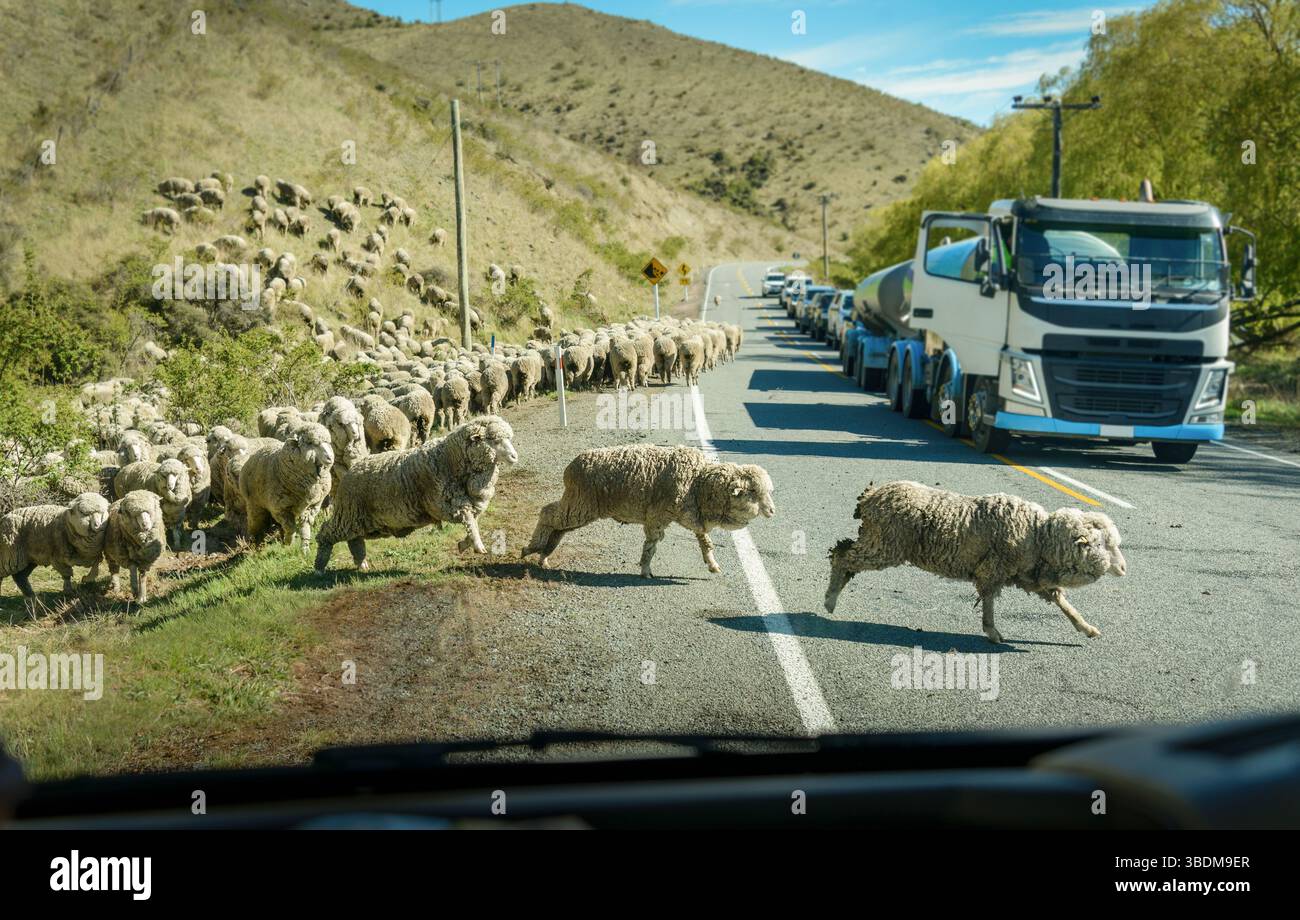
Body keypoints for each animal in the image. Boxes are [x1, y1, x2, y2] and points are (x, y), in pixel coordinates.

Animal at [237, 423, 334, 555]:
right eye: (311, 443)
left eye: (327, 442)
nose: (330, 458)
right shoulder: (280, 509)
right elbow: (291, 528)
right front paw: (289, 543)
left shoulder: (311, 507)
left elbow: (305, 527)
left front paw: (304, 549)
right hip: (255, 505)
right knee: (256, 527)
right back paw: (255, 548)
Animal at [314, 416, 517, 572]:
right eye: (494, 440)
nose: (515, 456)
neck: (449, 458)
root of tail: (353, 469)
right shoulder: (445, 504)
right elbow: (470, 520)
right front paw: (478, 545)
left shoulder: (463, 502)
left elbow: (472, 521)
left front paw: (465, 544)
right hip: (349, 514)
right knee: (326, 532)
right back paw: (319, 567)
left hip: (364, 521)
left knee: (354, 539)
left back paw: (361, 563)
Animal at [521, 445, 775, 578]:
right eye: (753, 491)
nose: (773, 510)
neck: (698, 482)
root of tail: (570, 468)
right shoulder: (658, 516)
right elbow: (651, 545)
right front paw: (645, 570)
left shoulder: (692, 516)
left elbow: (705, 541)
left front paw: (712, 564)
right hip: (580, 504)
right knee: (548, 514)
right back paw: (532, 548)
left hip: (578, 506)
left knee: (558, 527)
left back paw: (544, 555)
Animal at [824, 481, 1127, 644]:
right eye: (1105, 544)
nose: (1124, 569)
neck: (1038, 534)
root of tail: (870, 498)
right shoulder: (993, 570)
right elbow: (989, 600)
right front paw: (992, 632)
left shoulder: (1032, 577)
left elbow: (1062, 603)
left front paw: (1086, 628)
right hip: (885, 544)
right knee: (842, 556)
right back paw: (830, 599)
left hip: (877, 540)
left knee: (843, 551)